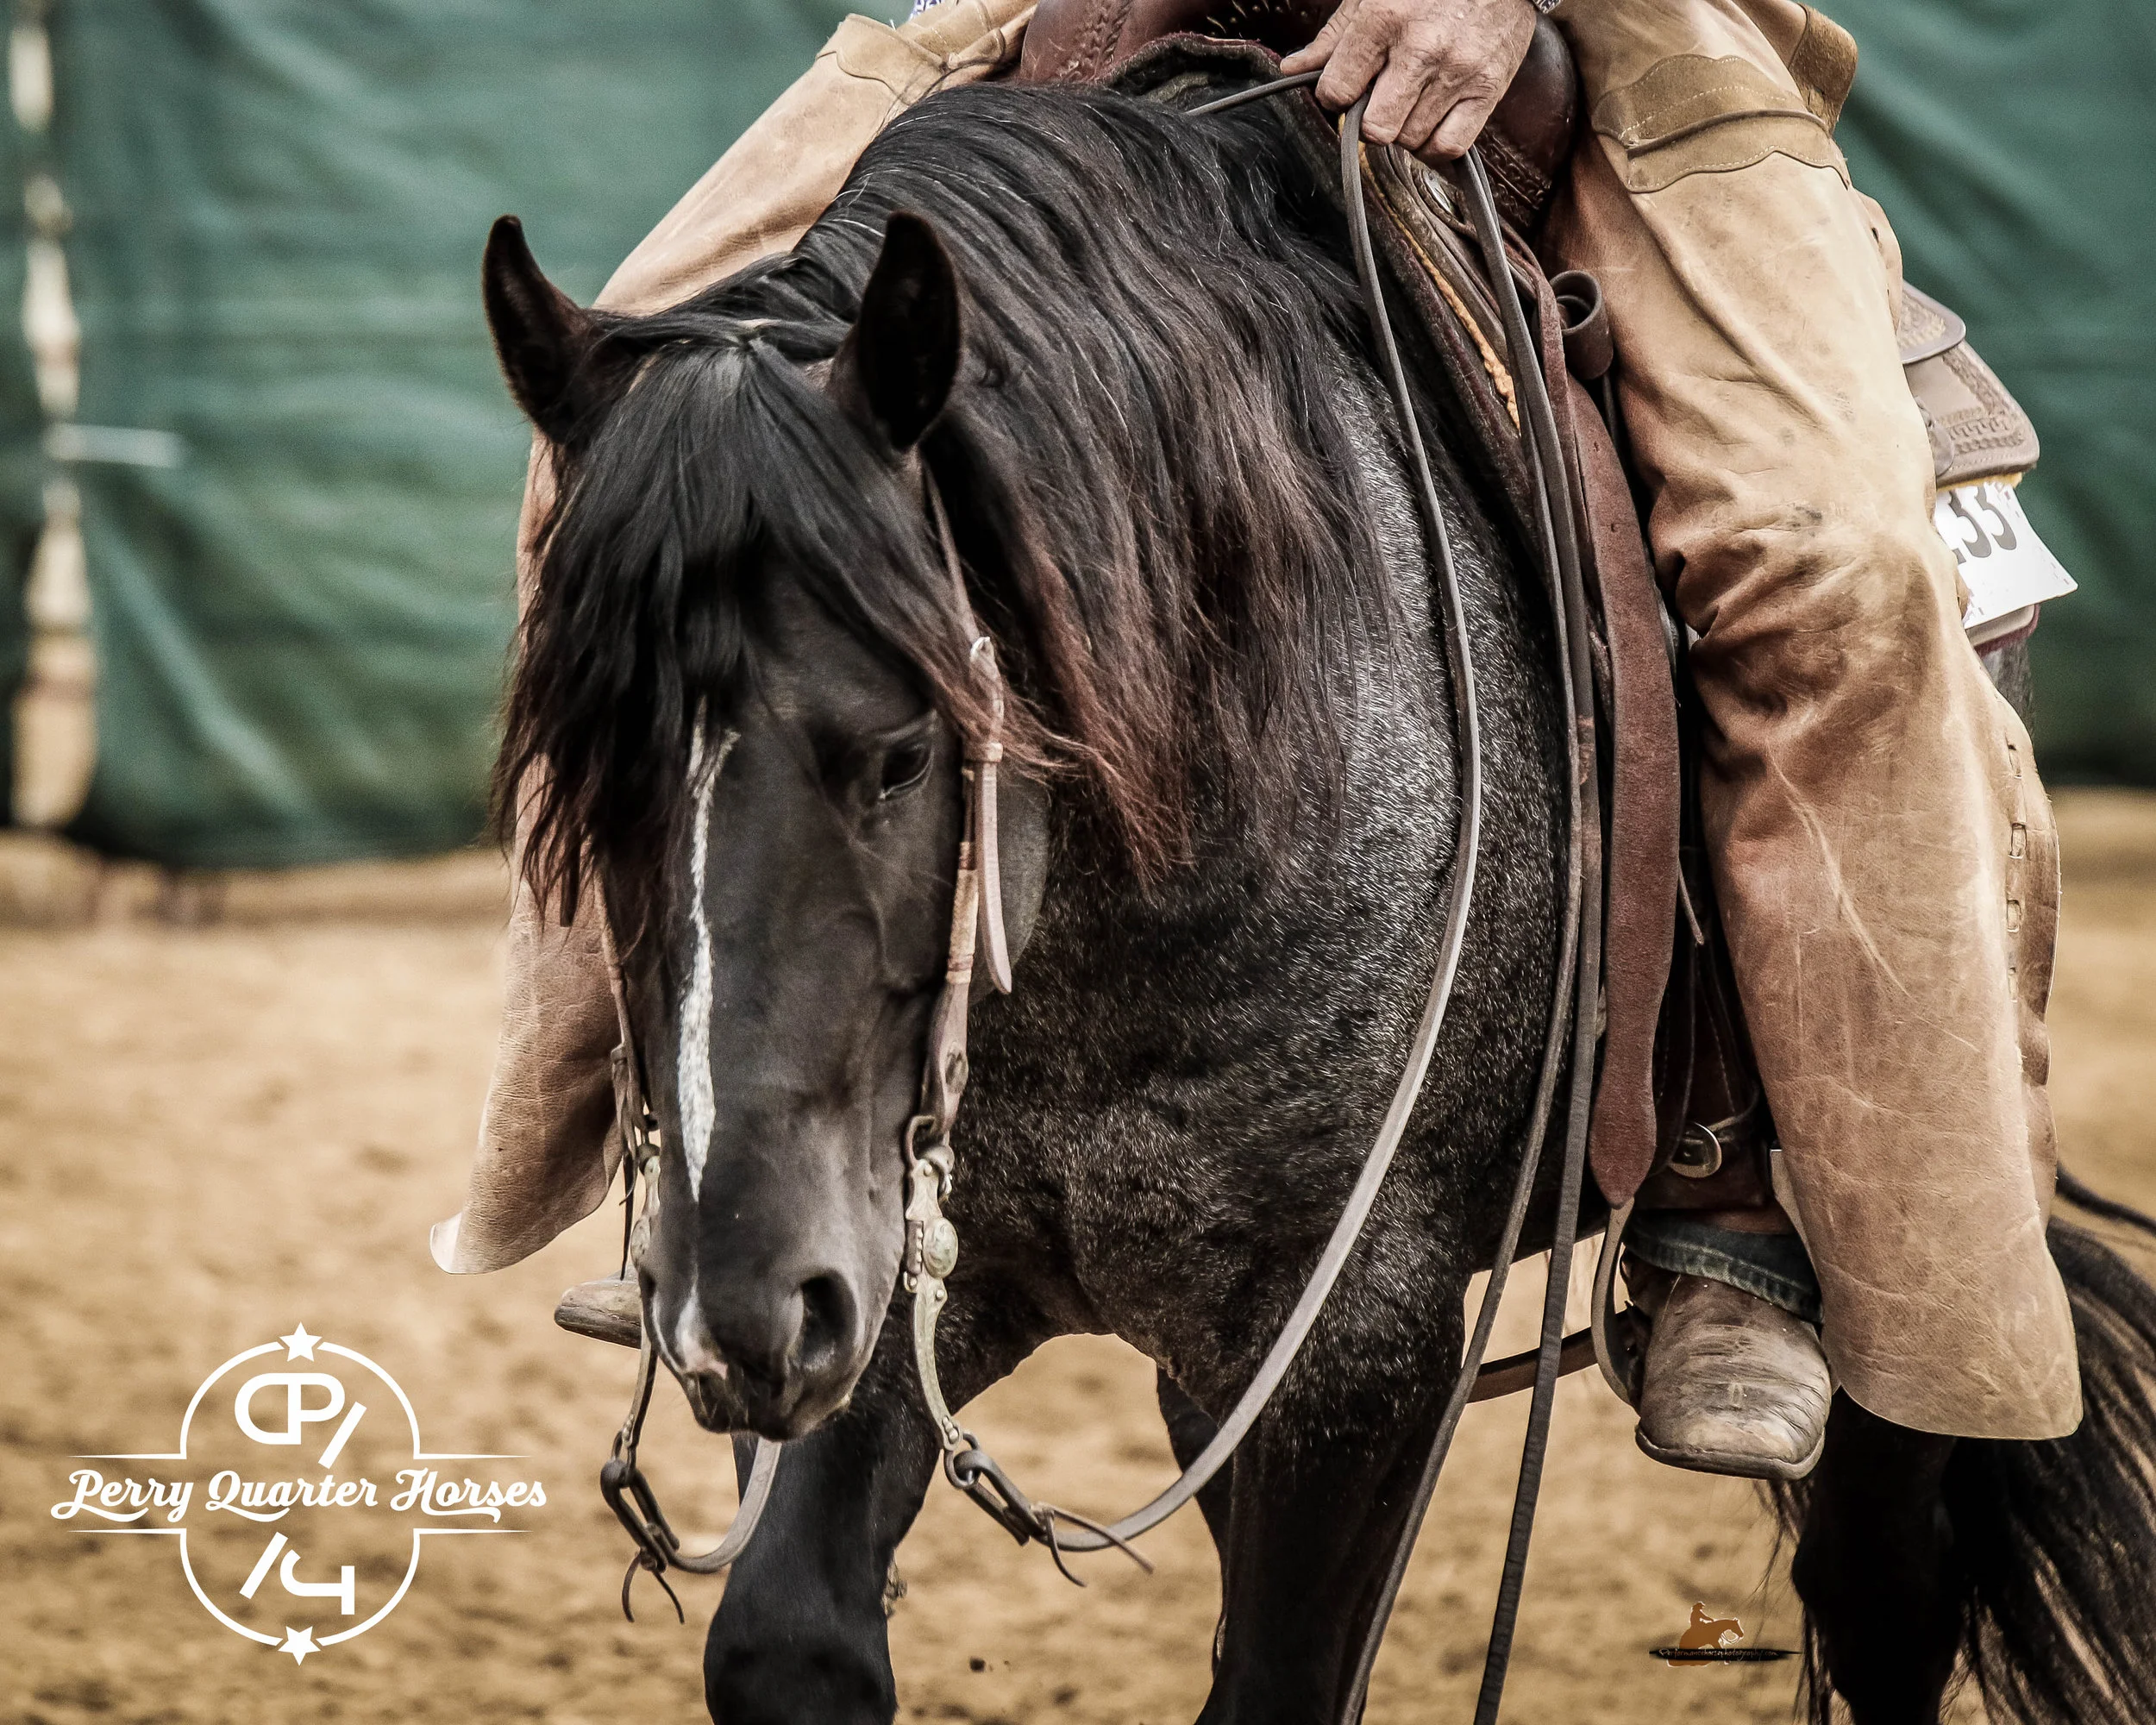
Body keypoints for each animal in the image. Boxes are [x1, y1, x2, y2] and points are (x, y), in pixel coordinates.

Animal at [481, 74, 2156, 1725]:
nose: (741, 1313)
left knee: (1890, 1574)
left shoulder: (1356, 1349)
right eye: (582, 769)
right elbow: (789, 1637)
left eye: (899, 754)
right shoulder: (899, 1270)